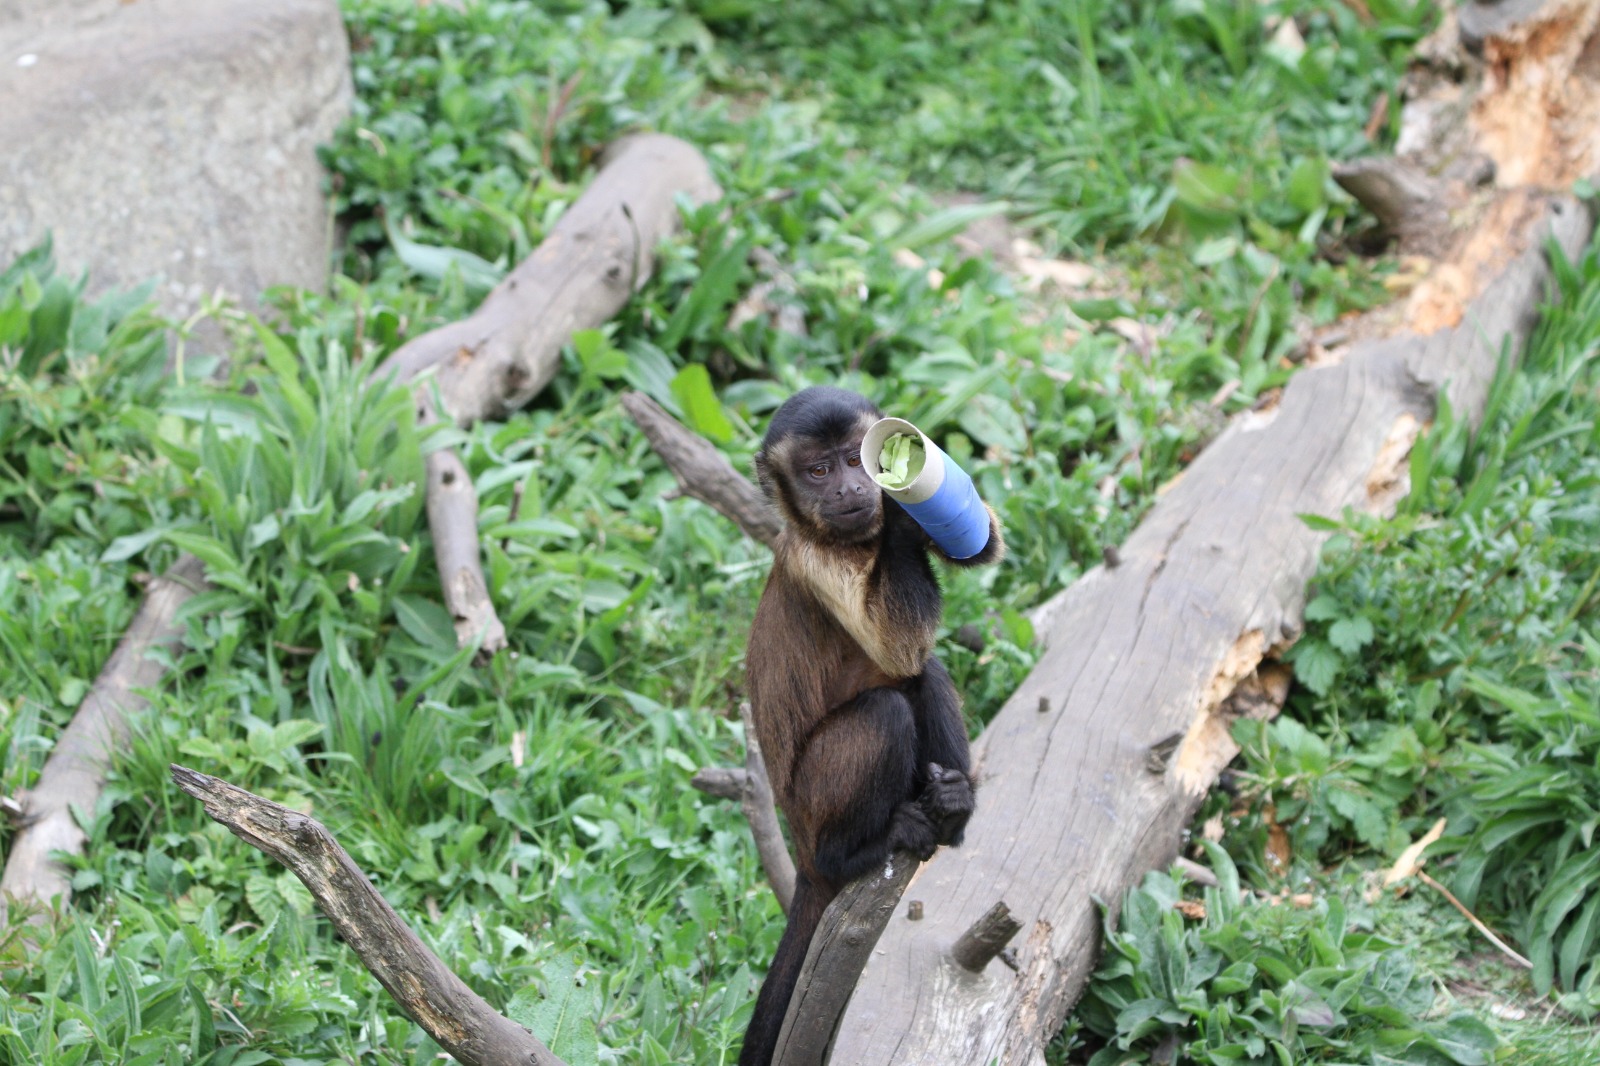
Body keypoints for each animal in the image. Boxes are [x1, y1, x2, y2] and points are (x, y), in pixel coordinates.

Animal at [737, 385, 1004, 1066]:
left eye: (852, 459)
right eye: (818, 470)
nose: (853, 486)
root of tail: (801, 851)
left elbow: (982, 544)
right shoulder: (810, 559)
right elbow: (895, 642)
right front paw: (905, 516)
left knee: (923, 676)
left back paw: (953, 809)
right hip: (813, 807)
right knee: (889, 705)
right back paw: (856, 851)